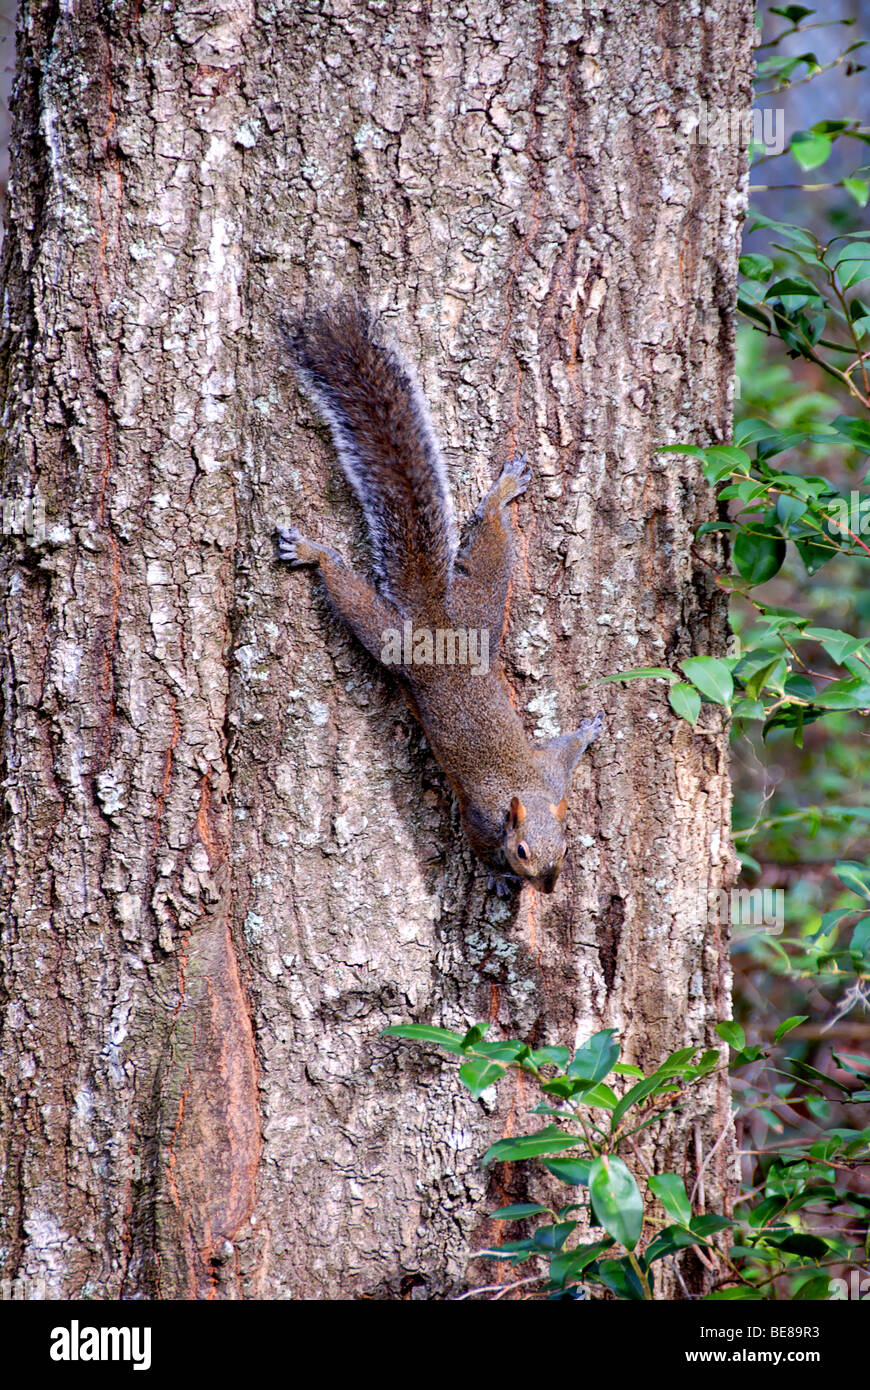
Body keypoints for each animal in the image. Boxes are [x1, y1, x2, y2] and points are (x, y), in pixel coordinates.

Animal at [276, 301, 603, 894]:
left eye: (566, 848)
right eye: (521, 851)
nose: (544, 886)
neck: (524, 794)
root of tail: (437, 623)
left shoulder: (551, 779)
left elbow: (564, 753)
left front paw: (588, 731)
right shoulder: (479, 814)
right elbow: (477, 844)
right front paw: (495, 878)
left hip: (481, 611)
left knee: (491, 549)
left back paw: (500, 496)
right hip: (397, 643)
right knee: (353, 593)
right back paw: (316, 553)